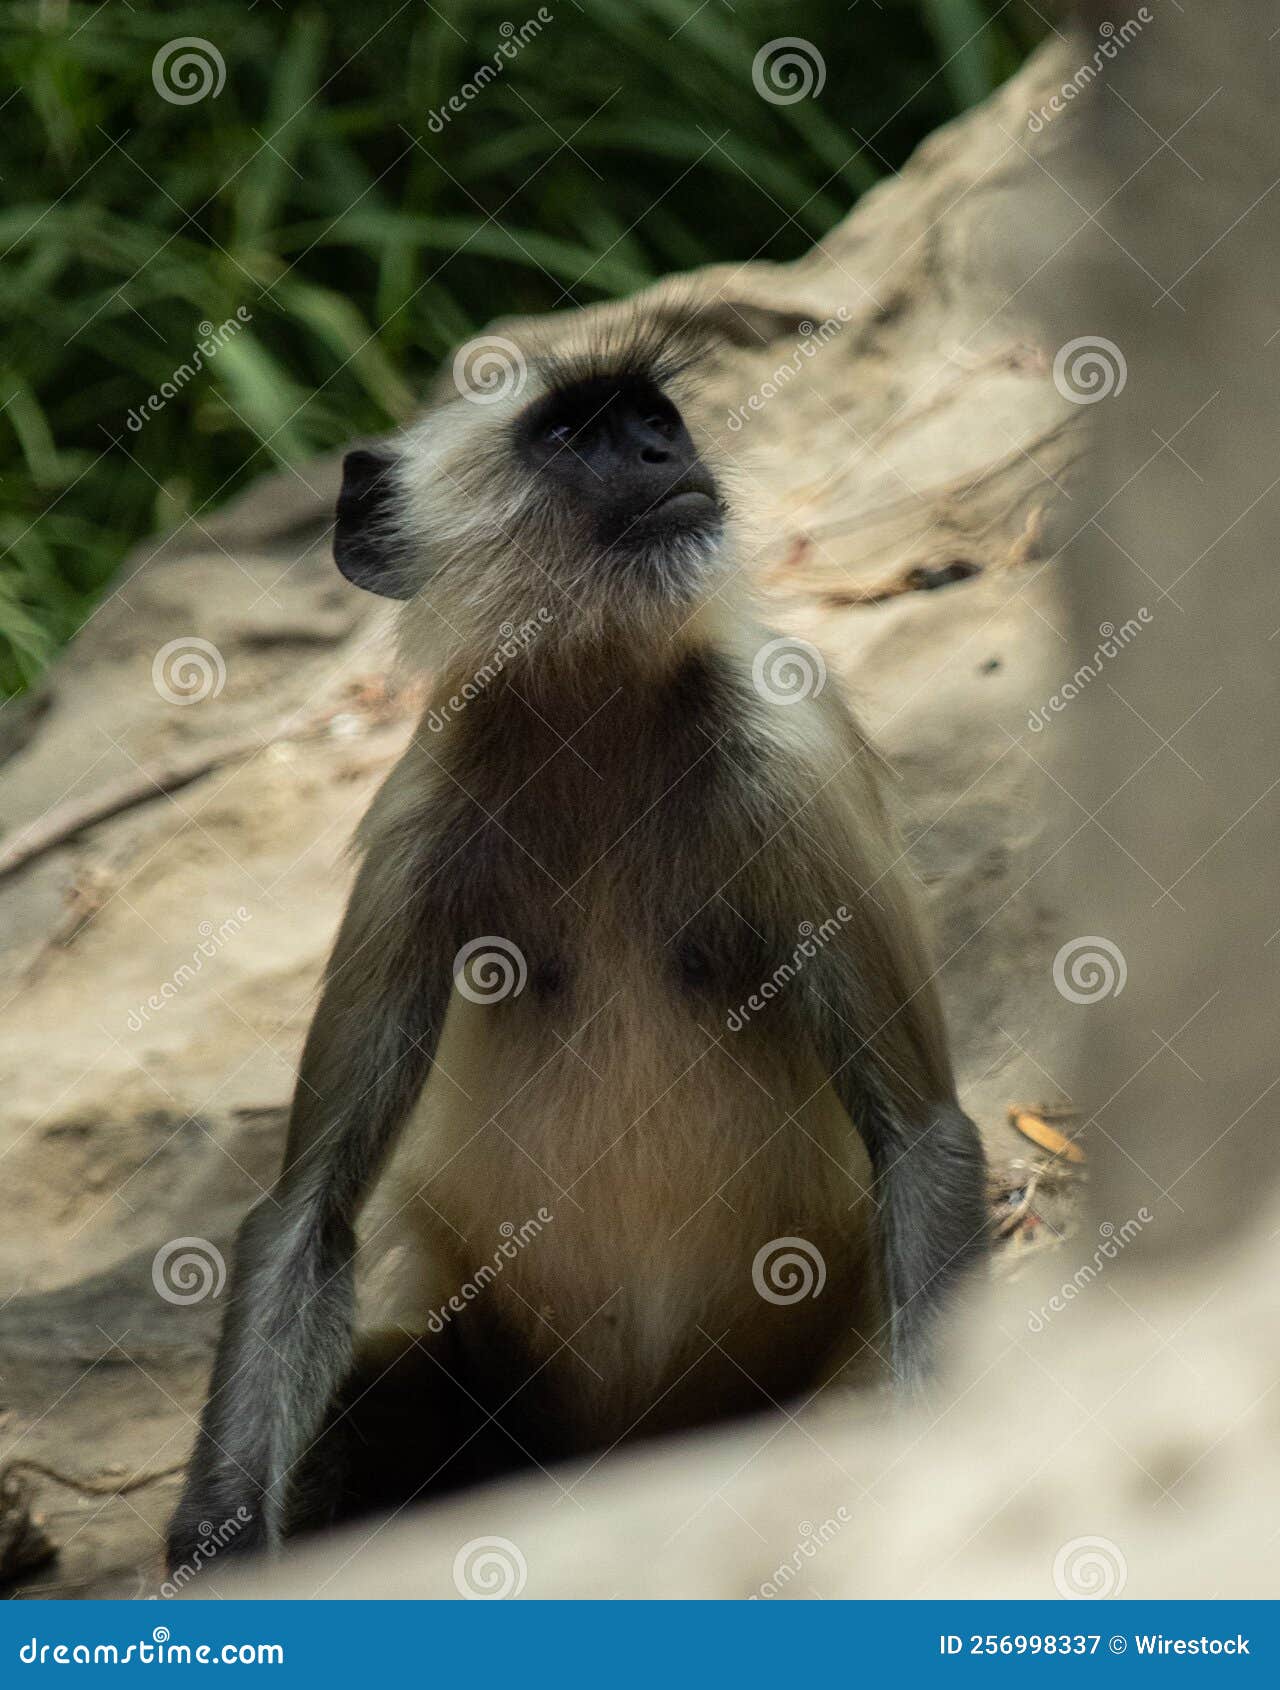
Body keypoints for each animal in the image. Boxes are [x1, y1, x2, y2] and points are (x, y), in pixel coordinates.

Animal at [167, 316, 988, 1570]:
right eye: (569, 435)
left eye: (652, 419)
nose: (660, 454)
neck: (593, 709)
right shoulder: (421, 814)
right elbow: (308, 1211)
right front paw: (215, 1539)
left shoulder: (784, 752)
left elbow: (919, 1138)